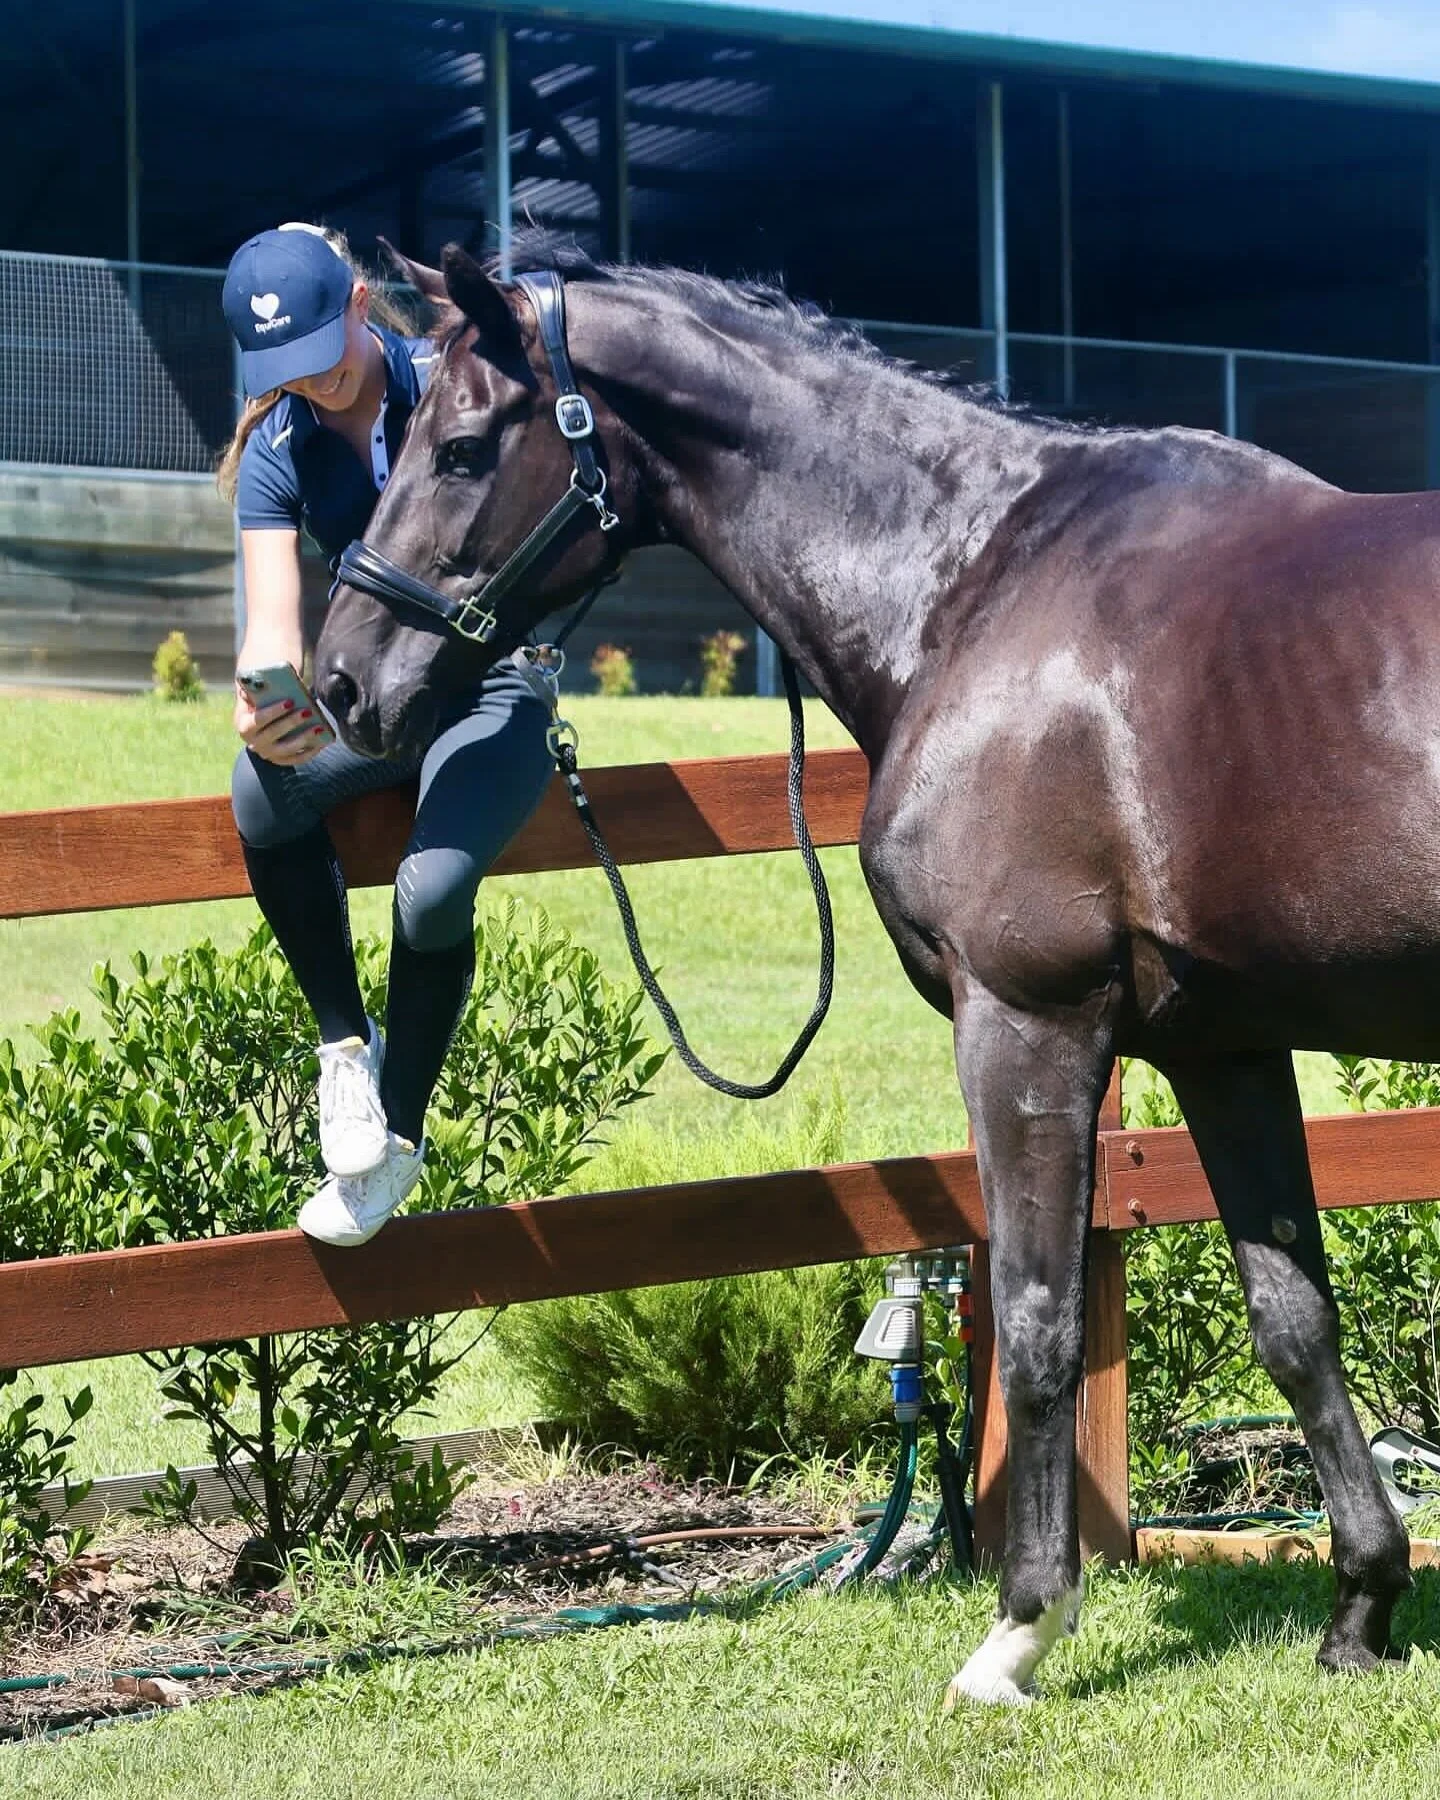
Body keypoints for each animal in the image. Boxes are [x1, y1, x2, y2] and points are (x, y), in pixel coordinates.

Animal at [314, 234, 1437, 1705]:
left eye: (454, 448)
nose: (338, 681)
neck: (978, 582)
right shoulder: (1224, 1044)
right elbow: (1295, 1315)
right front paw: (1362, 1604)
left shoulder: (1027, 1019)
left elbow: (1037, 1320)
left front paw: (1019, 1633)